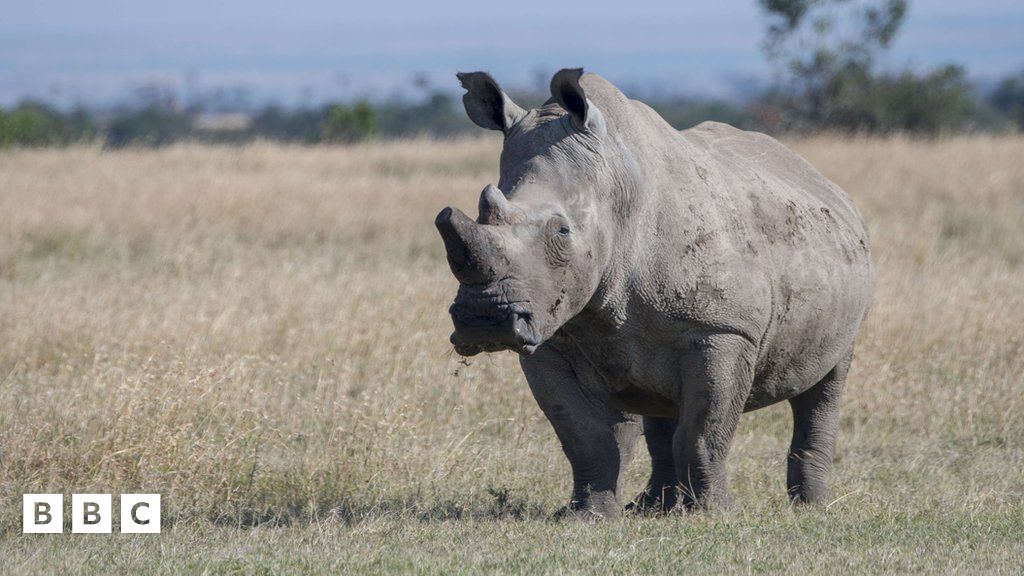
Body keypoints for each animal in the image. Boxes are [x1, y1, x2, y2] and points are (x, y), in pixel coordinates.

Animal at [435, 68, 874, 517]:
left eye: (562, 231)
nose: (485, 320)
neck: (616, 193)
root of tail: (826, 184)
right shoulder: (549, 336)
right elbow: (585, 436)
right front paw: (589, 516)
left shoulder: (722, 330)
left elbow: (704, 432)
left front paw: (715, 514)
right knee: (657, 407)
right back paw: (651, 509)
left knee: (826, 385)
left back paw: (812, 507)